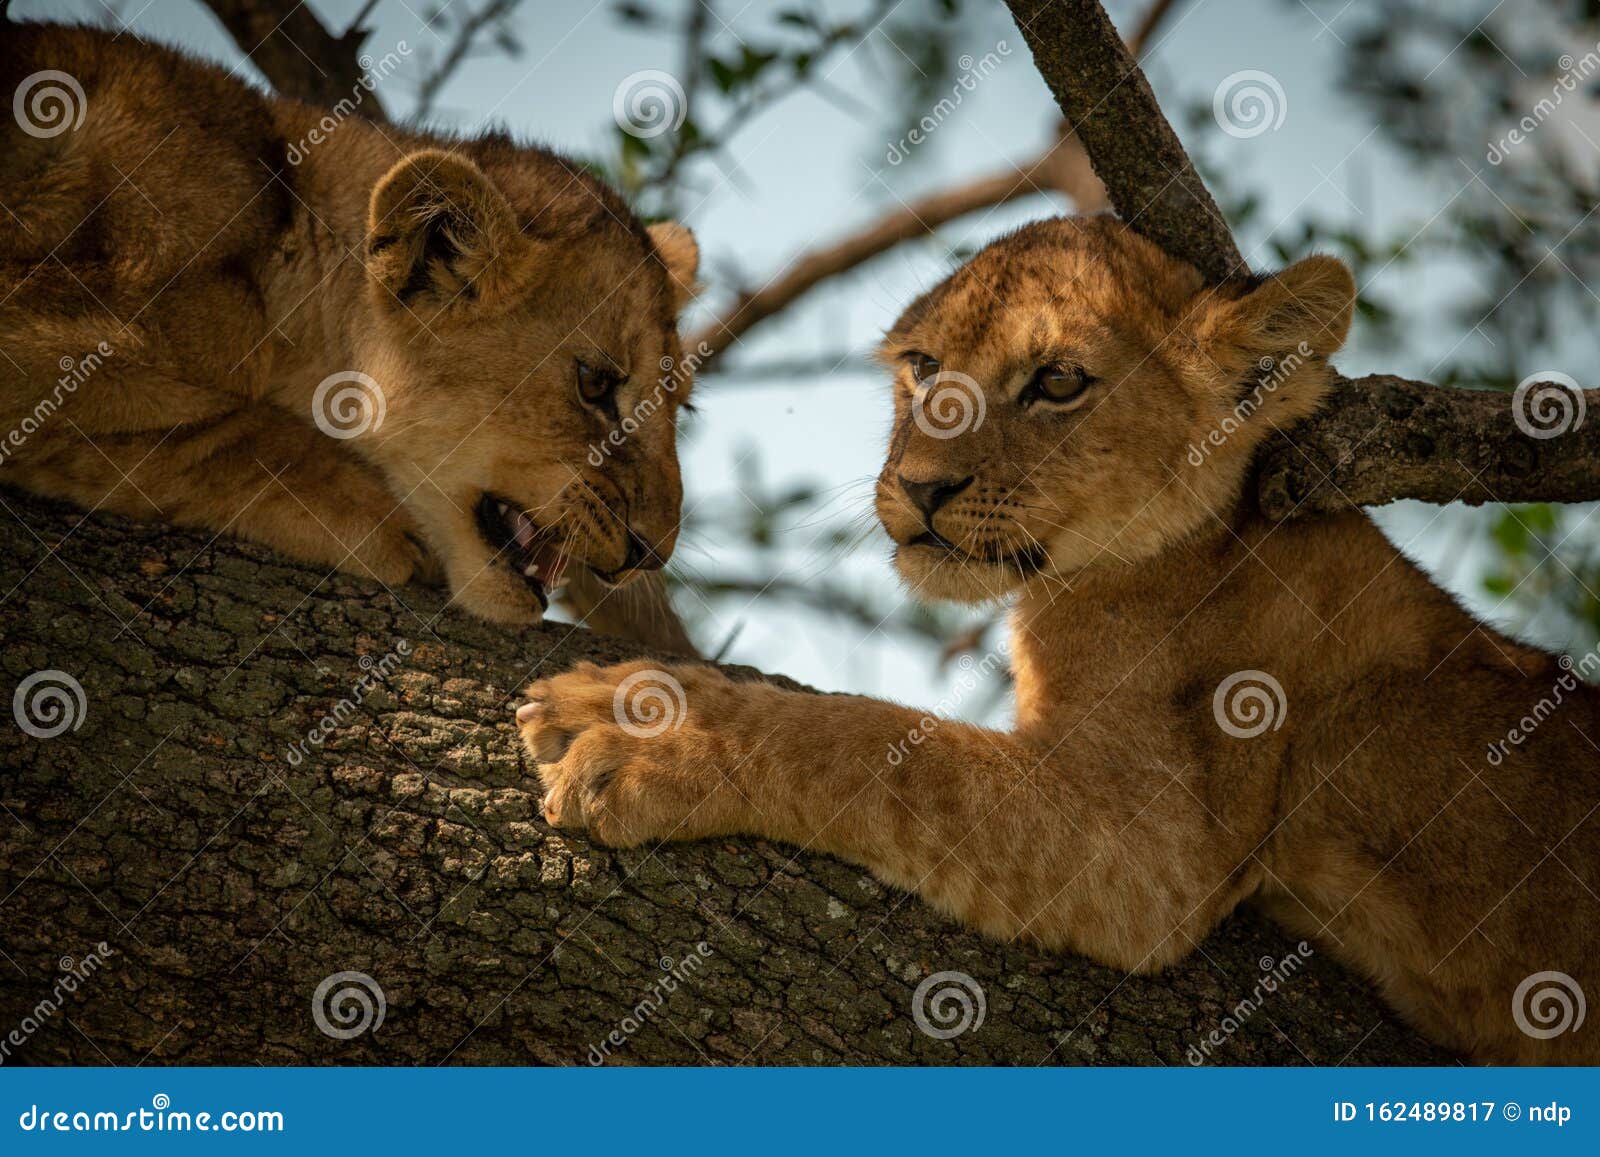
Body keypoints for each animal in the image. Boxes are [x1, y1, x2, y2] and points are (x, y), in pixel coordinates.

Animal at [1, 21, 697, 651]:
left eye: (679, 409)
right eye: (594, 384)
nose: (653, 553)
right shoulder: (40, 330)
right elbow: (226, 429)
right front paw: (380, 518)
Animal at [517, 216, 1600, 1064]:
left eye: (1059, 381)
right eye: (922, 368)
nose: (920, 487)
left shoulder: (1153, 852)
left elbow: (869, 743)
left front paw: (638, 734)